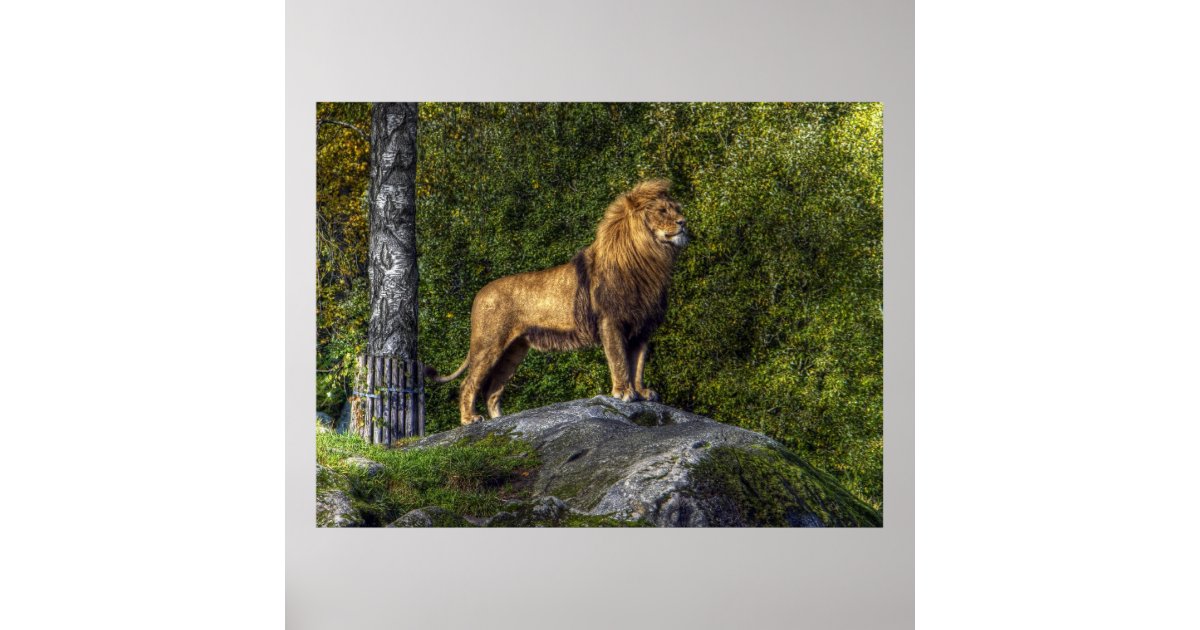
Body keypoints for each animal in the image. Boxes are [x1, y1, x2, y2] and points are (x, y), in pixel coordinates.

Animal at [426, 179, 689, 424]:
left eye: (677, 208)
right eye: (662, 211)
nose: (684, 222)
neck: (650, 258)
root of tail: (480, 293)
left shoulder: (643, 327)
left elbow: (638, 364)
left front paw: (642, 392)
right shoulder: (611, 322)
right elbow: (620, 361)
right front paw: (624, 392)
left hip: (514, 350)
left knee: (492, 389)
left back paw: (501, 421)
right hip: (489, 343)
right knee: (468, 383)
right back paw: (470, 419)